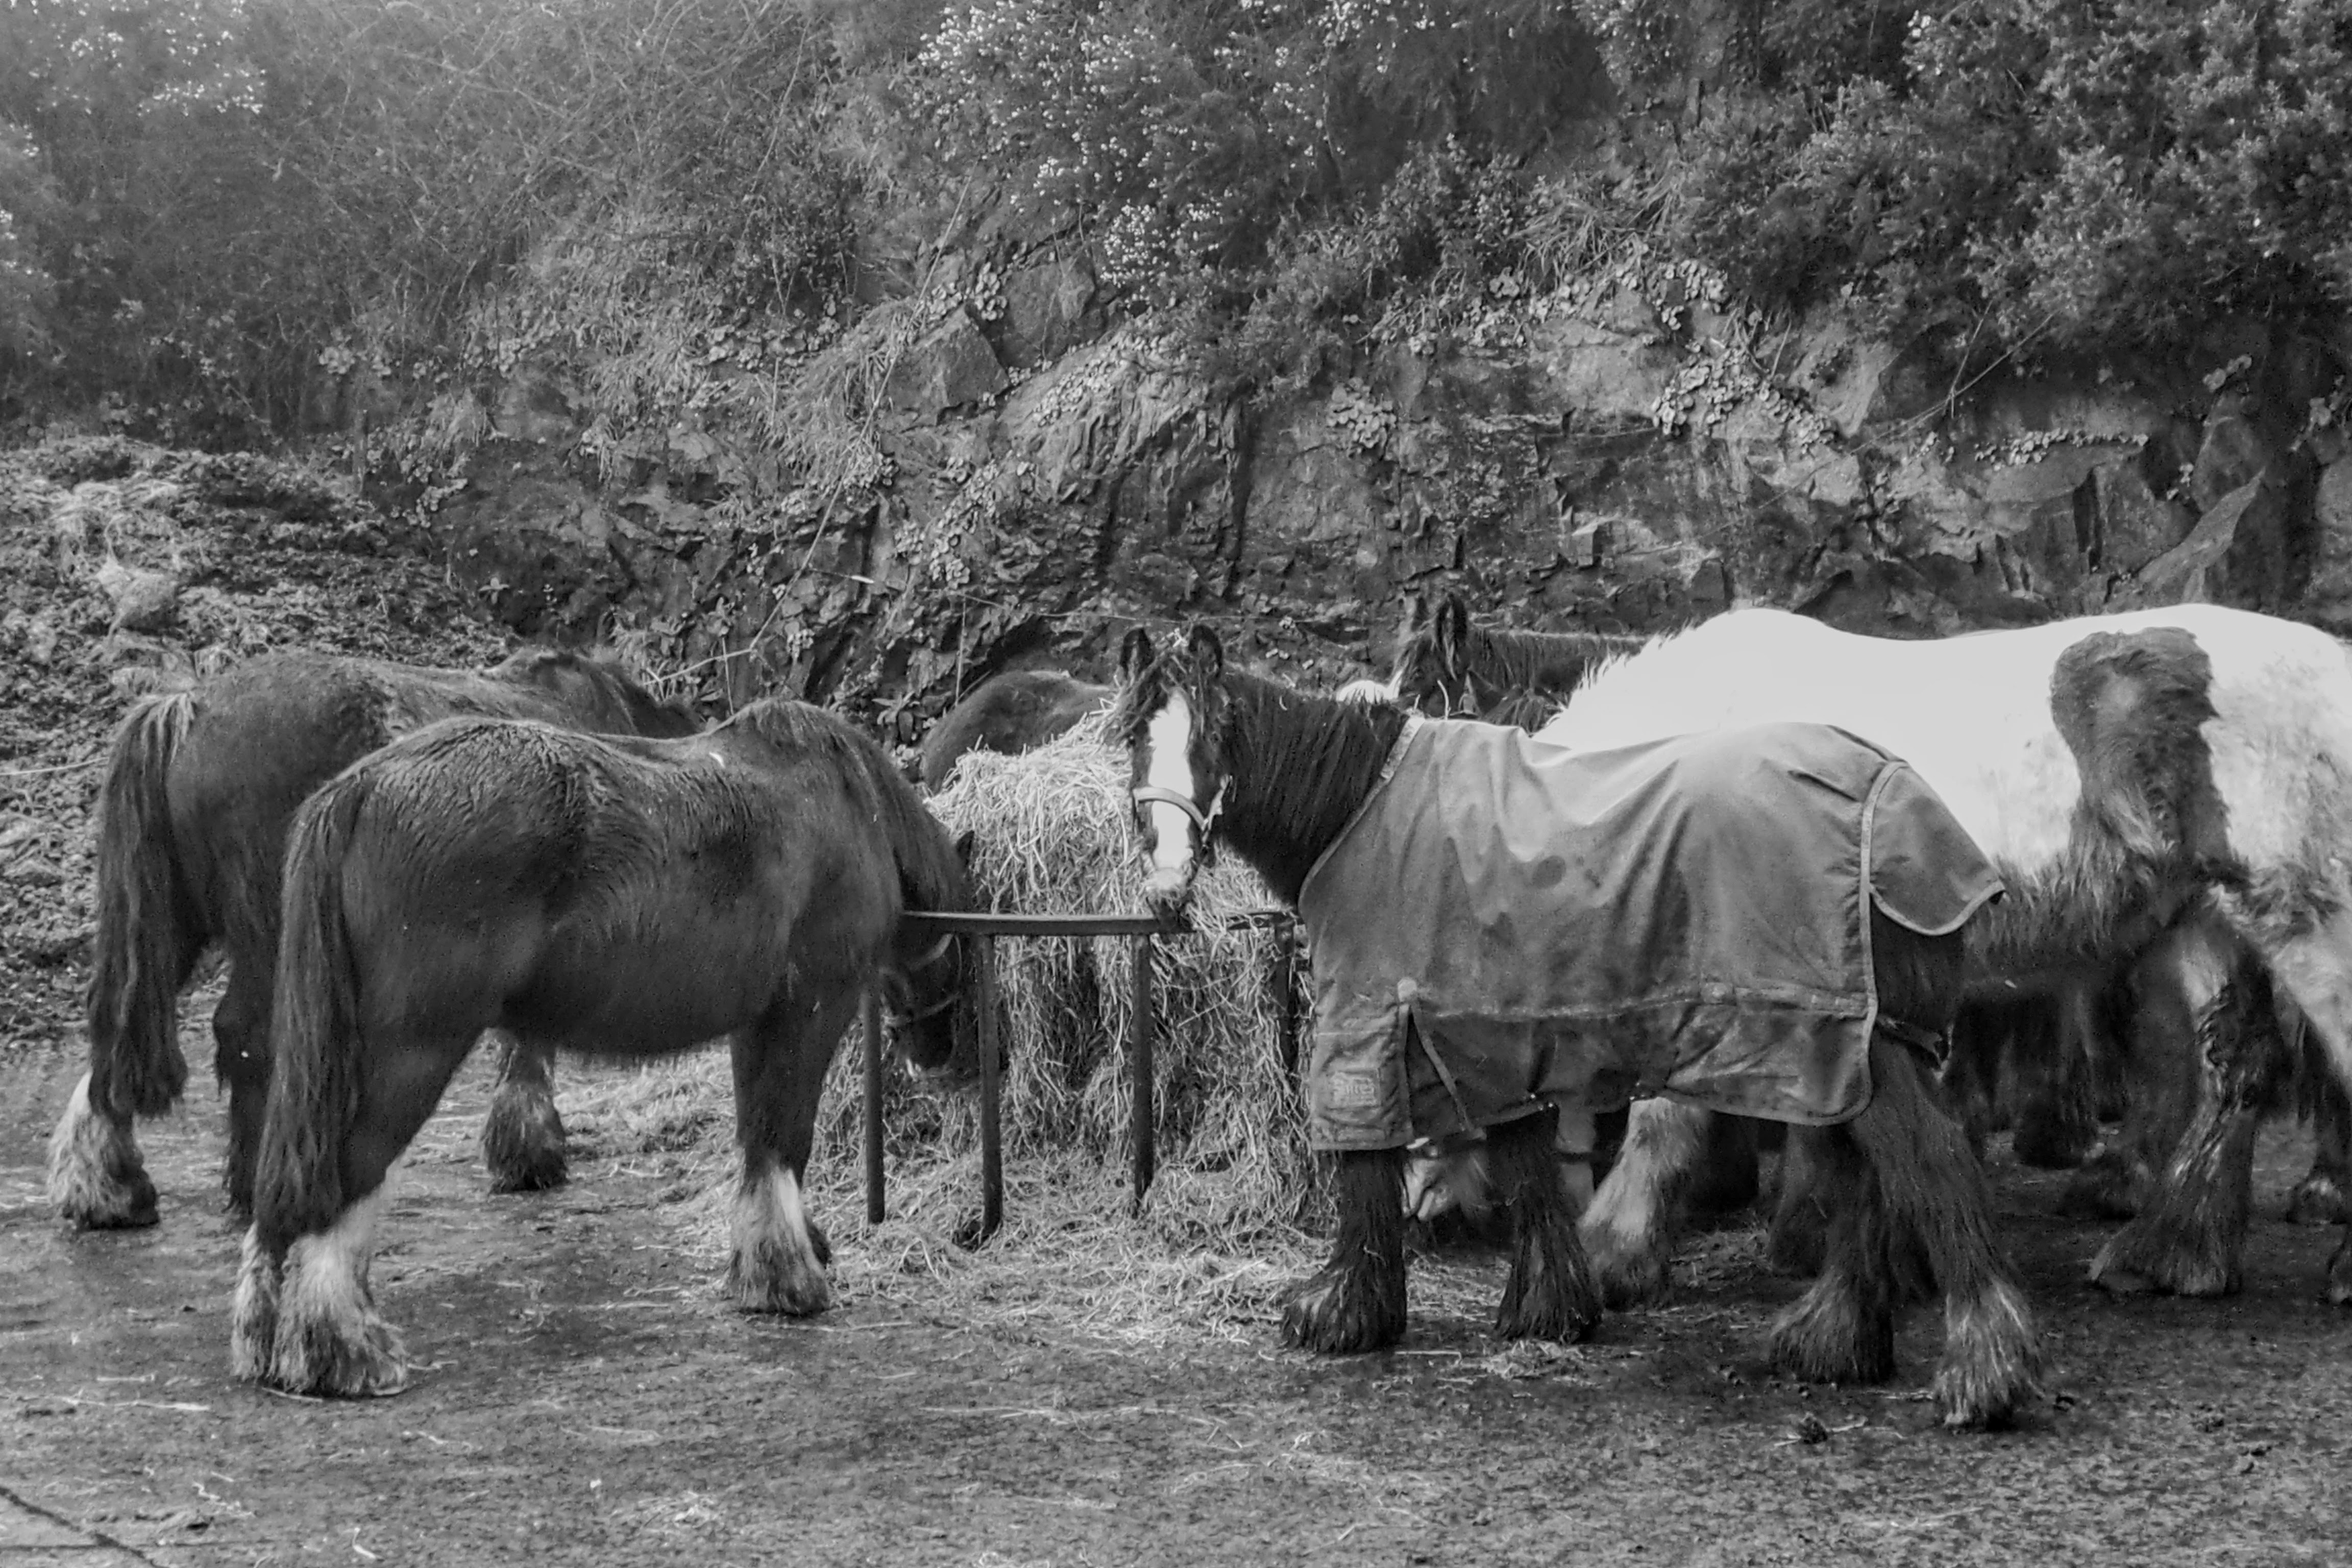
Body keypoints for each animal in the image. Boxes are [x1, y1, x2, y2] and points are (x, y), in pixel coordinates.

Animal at [46, 647, 703, 1231]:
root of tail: (192, 707)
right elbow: (529, 1047)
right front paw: (532, 1153)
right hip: (271, 934)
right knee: (246, 1037)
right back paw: (255, 1182)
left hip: (172, 926)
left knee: (116, 1036)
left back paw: (111, 1191)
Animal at [228, 698, 973, 1397]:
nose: (937, 1055)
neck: (850, 809)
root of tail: (361, 789)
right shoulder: (811, 1009)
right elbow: (786, 1141)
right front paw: (793, 1279)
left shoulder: (759, 1024)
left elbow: (759, 1141)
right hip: (408, 1054)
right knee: (345, 1177)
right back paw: (345, 1349)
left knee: (288, 1191)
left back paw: (271, 1341)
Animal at [1115, 625, 2043, 1430]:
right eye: (1132, 743)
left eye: (1210, 740)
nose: (1164, 887)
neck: (1360, 802)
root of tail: (1904, 798)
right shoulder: (1486, 1030)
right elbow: (1526, 1162)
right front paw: (1550, 1306)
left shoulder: (1367, 1026)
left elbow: (1367, 1169)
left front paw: (1342, 1314)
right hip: (1841, 1052)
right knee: (1864, 1175)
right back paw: (1832, 1343)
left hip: (1848, 1042)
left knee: (1929, 1160)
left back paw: (1980, 1372)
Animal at [1533, 604, 2352, 1308]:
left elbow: (1665, 1117)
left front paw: (1611, 1260)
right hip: (2204, 916)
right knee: (2233, 1067)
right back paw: (2169, 1256)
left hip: (2306, 918)